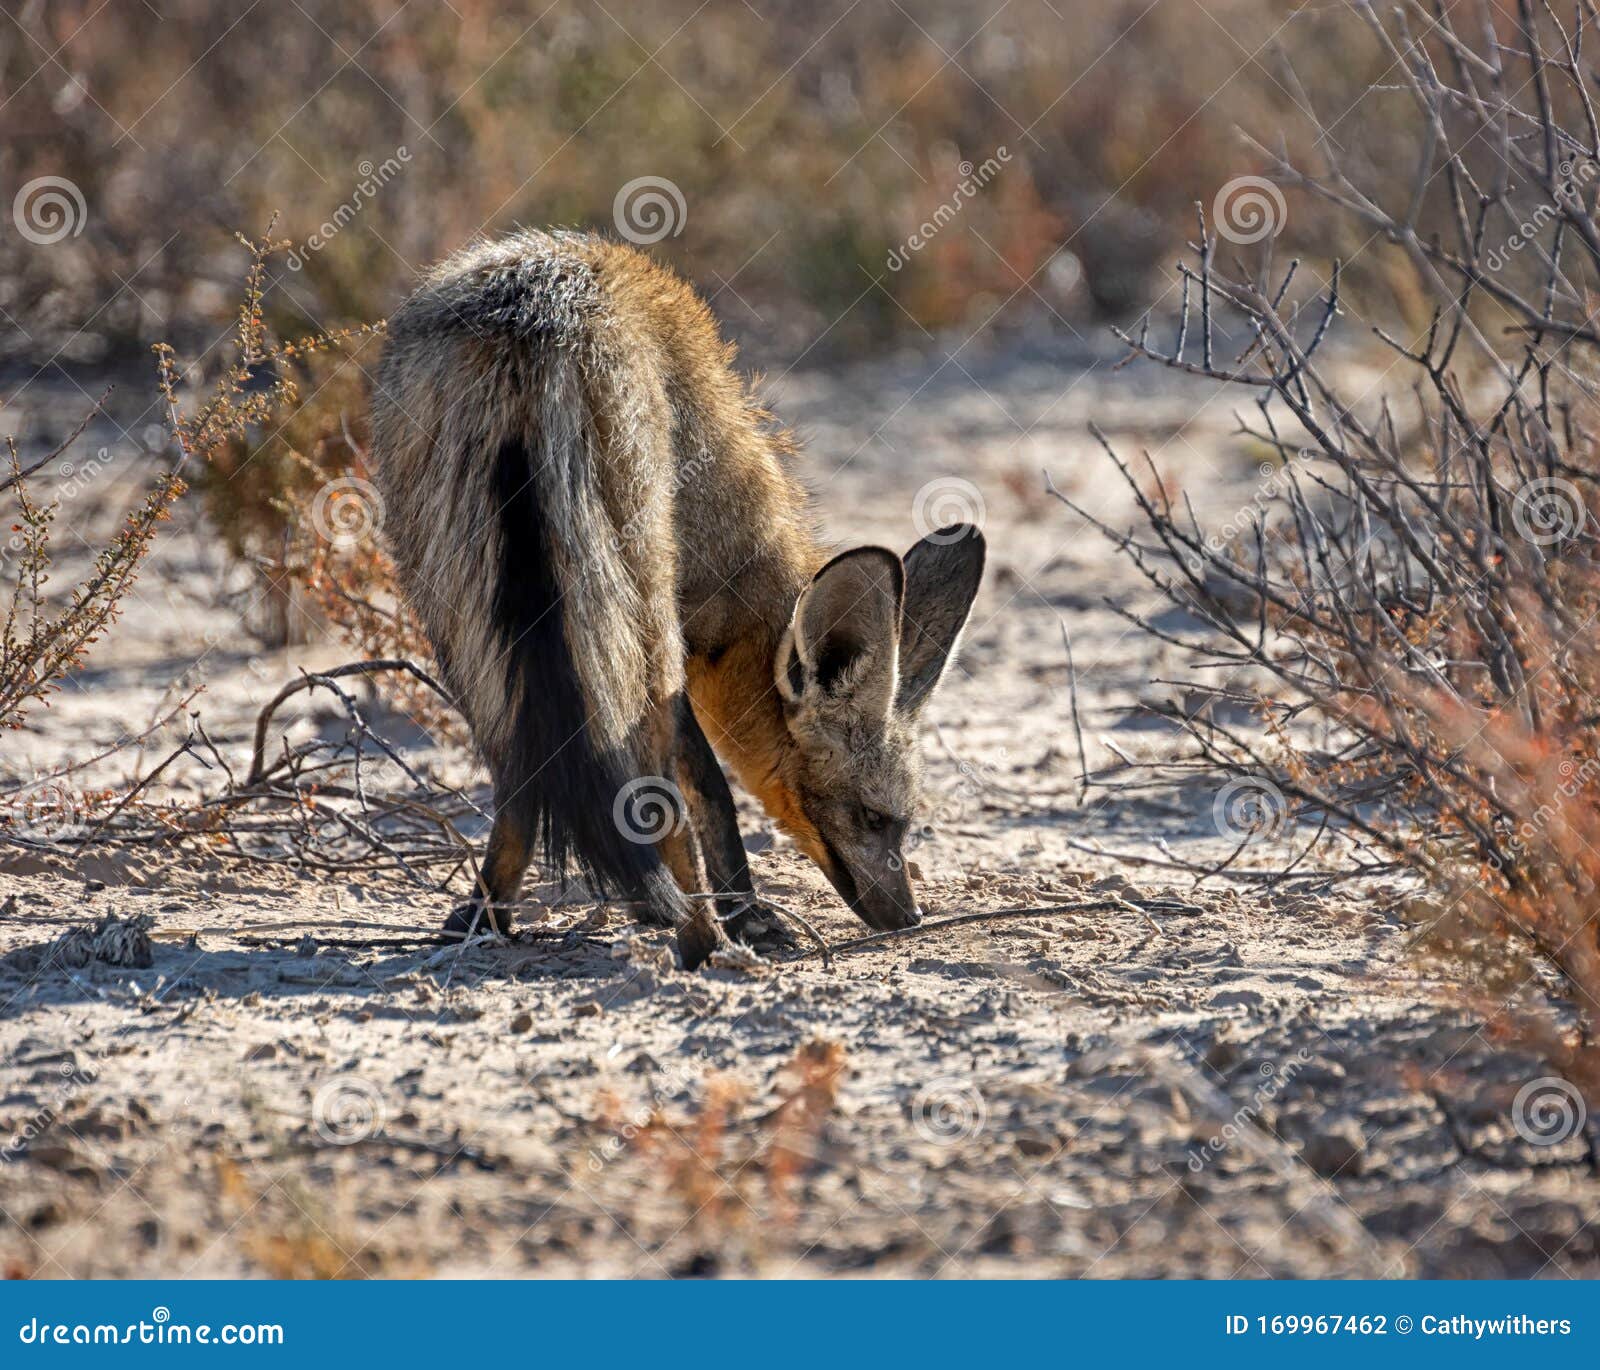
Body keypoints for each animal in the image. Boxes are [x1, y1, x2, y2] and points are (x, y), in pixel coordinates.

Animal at [369, 229, 985, 967]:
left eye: (904, 824)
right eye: (876, 818)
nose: (909, 918)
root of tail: (533, 316)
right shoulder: (680, 650)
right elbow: (709, 791)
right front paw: (746, 915)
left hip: (457, 613)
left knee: (517, 770)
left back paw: (487, 917)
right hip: (635, 612)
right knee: (652, 787)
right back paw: (702, 940)